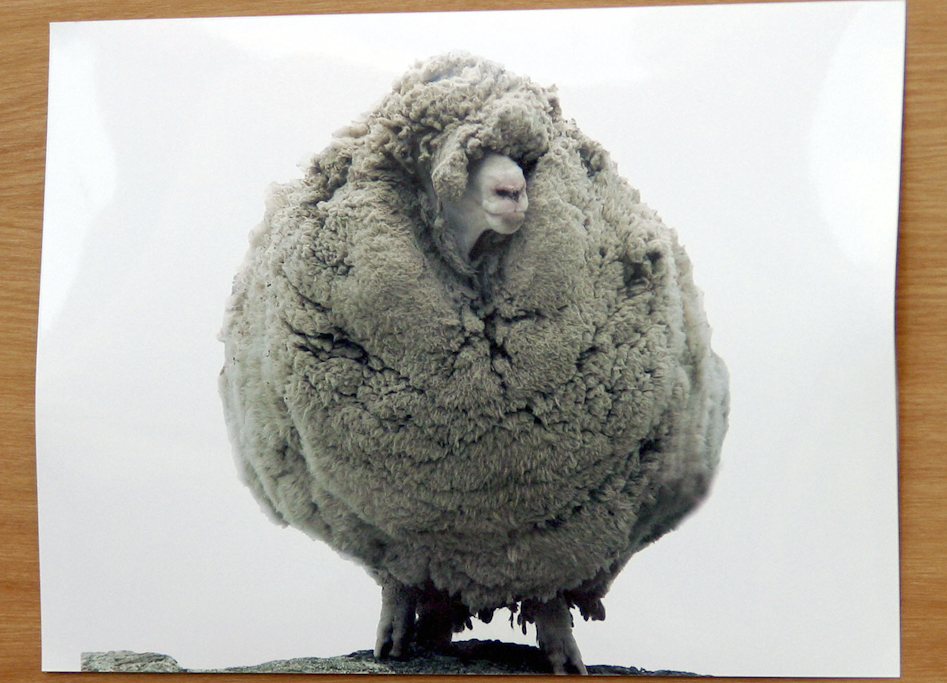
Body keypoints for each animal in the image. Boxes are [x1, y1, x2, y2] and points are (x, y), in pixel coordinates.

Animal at [219, 52, 729, 675]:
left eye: (529, 160)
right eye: (434, 159)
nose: (512, 190)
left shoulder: (557, 530)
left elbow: (550, 595)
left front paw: (564, 654)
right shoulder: (390, 521)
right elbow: (396, 578)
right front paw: (390, 636)